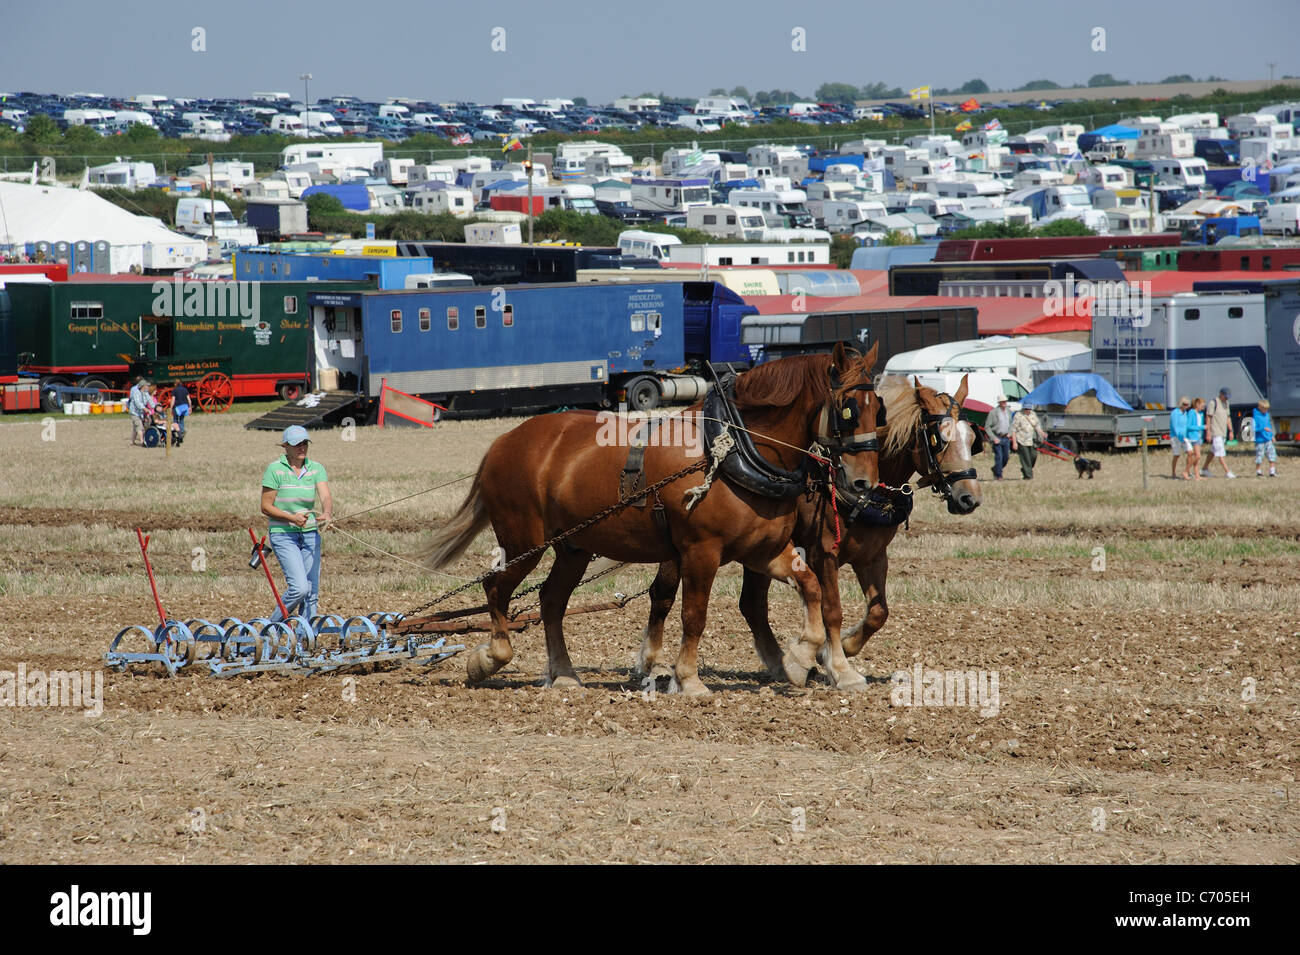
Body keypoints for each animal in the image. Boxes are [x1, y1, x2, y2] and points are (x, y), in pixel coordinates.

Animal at [420, 342, 883, 697]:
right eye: (847, 409)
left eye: (878, 408)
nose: (863, 481)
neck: (733, 449)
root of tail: (503, 441)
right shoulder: (701, 551)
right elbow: (694, 615)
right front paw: (689, 680)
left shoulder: (762, 550)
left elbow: (812, 587)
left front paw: (801, 657)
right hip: (522, 543)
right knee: (495, 589)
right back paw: (490, 658)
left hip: (573, 547)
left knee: (551, 600)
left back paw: (565, 675)